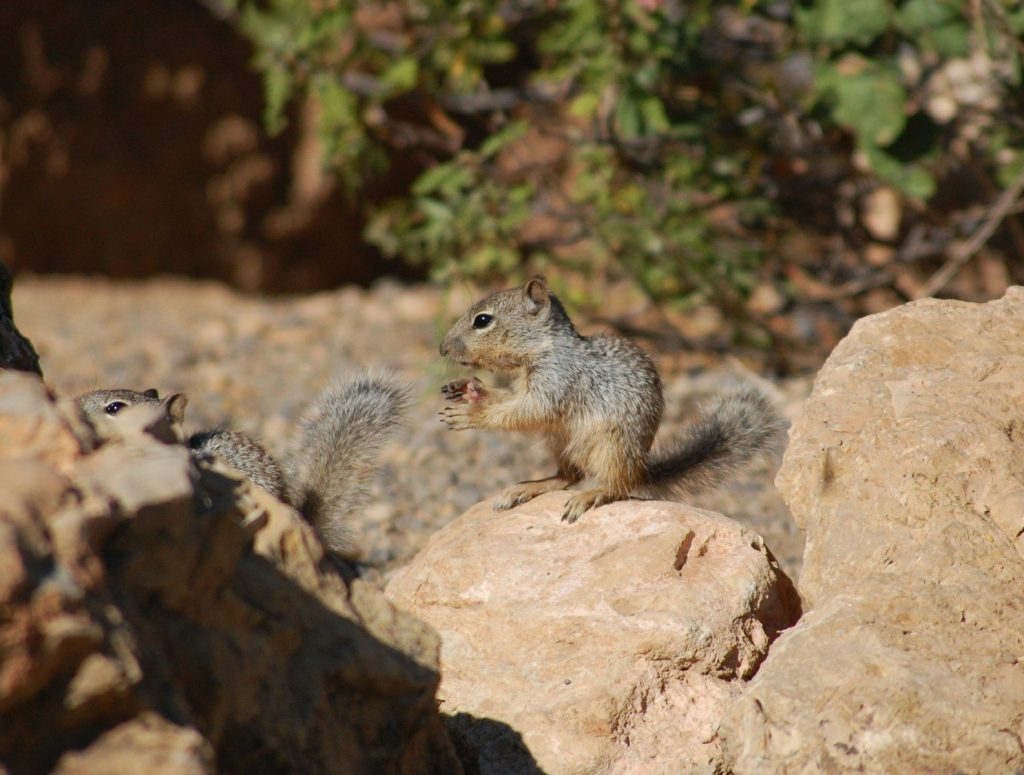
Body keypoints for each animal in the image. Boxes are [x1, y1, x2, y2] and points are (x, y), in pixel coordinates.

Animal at [439, 274, 784, 523]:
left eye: (483, 320)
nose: (442, 348)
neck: (543, 350)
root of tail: (640, 468)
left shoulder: (558, 382)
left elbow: (528, 412)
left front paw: (471, 415)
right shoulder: (524, 388)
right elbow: (508, 399)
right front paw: (469, 388)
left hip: (611, 447)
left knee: (615, 487)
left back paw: (589, 496)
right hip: (560, 443)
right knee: (569, 475)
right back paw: (527, 488)